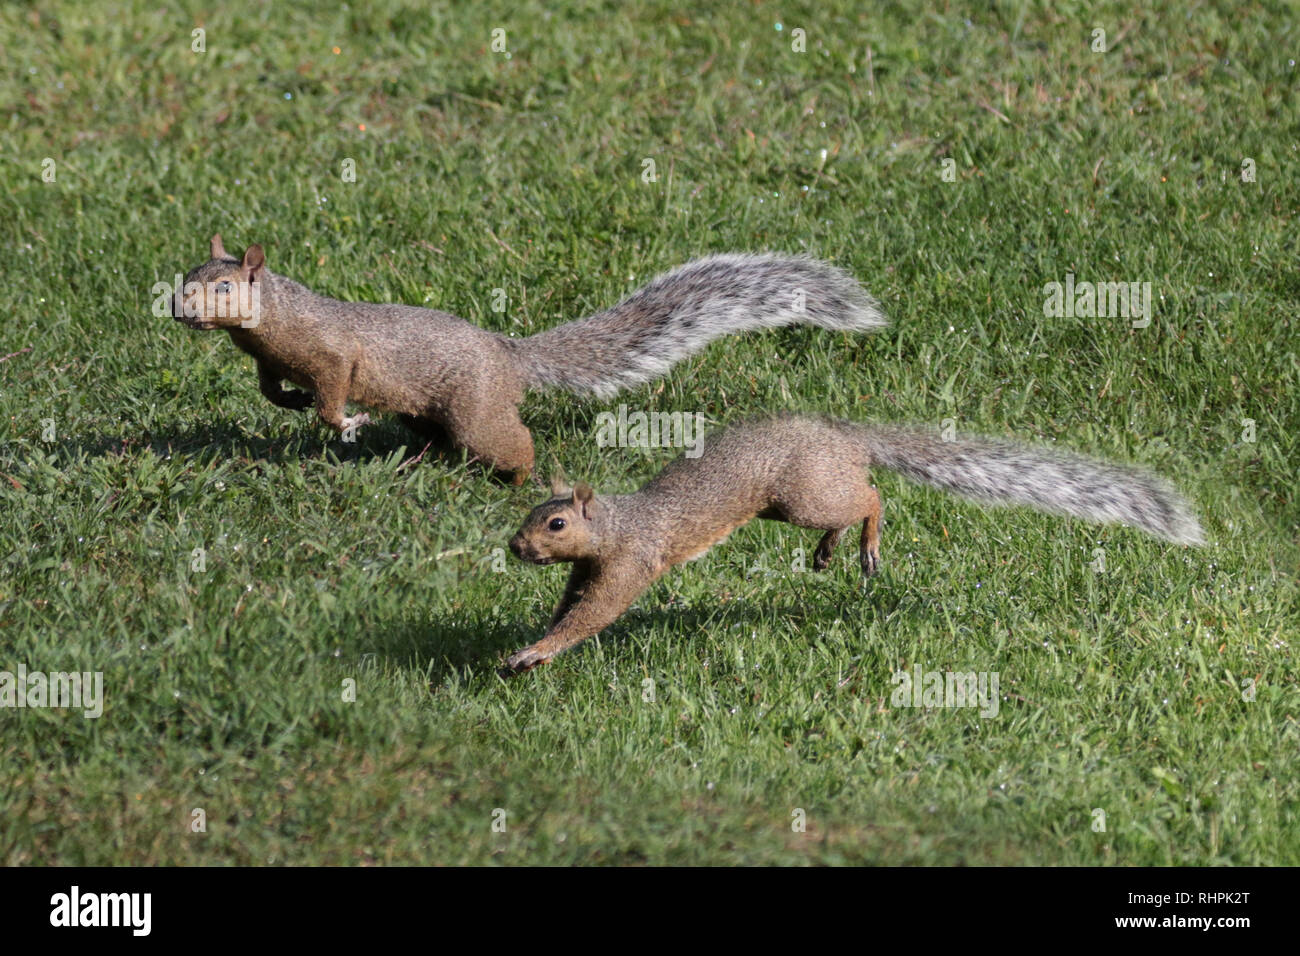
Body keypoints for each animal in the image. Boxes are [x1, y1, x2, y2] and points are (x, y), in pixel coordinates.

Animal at [171, 235, 885, 481]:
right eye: (186, 276)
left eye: (226, 288)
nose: (179, 310)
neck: (275, 323)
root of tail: (507, 357)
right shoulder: (267, 359)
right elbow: (272, 390)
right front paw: (290, 403)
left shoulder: (333, 353)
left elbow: (333, 391)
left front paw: (344, 420)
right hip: (436, 412)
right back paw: (418, 462)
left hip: (478, 411)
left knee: (509, 444)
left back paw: (527, 479)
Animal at [503, 414, 1203, 672]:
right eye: (535, 517)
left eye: (556, 525)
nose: (514, 549)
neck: (613, 525)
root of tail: (845, 435)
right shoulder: (587, 570)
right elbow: (571, 605)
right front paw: (532, 641)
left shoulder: (629, 561)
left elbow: (595, 615)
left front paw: (532, 655)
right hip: (795, 502)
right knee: (846, 506)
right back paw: (828, 552)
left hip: (801, 494)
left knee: (868, 496)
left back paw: (865, 542)